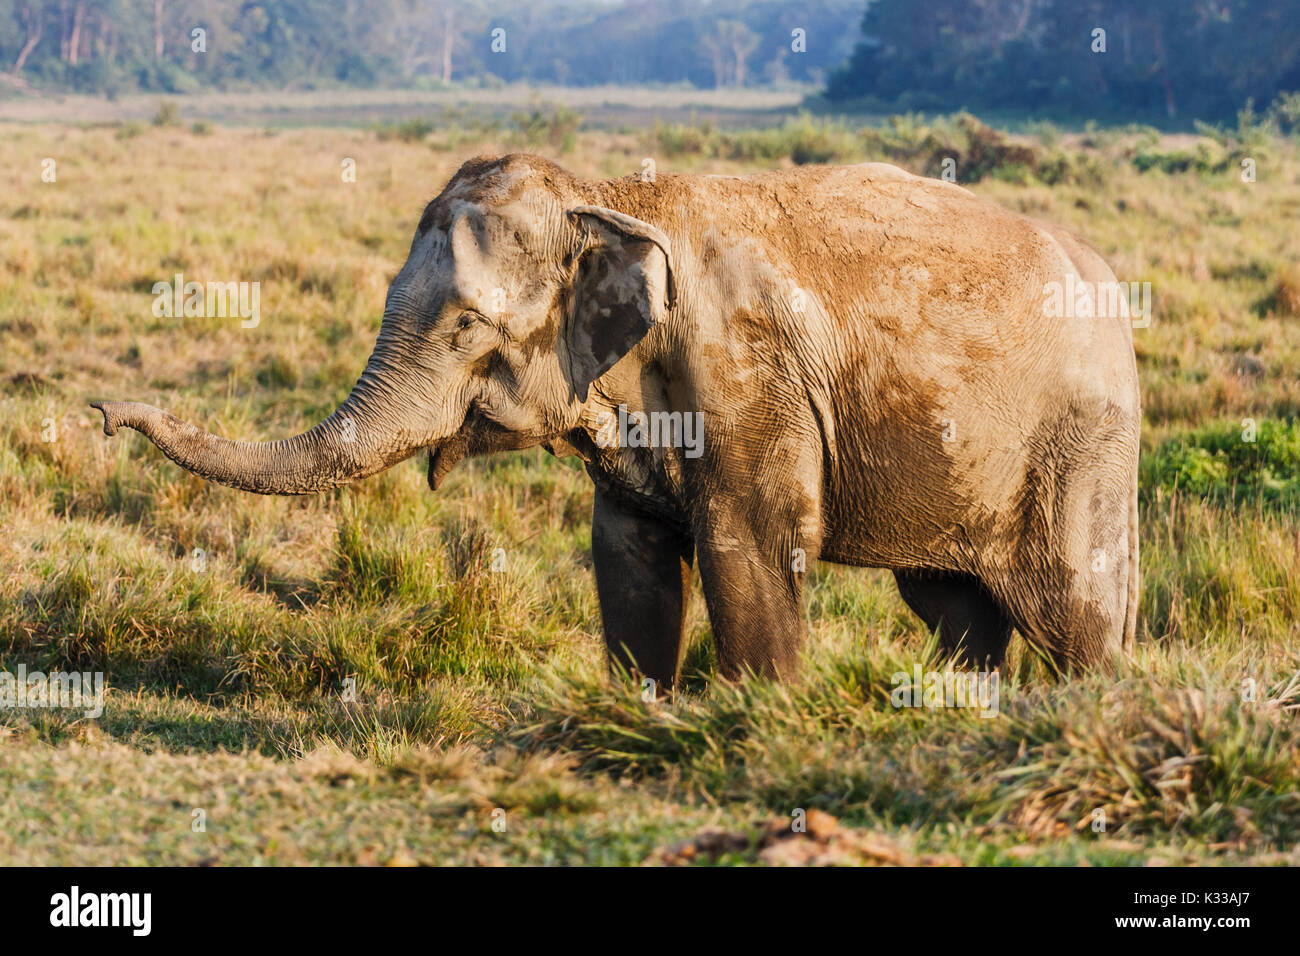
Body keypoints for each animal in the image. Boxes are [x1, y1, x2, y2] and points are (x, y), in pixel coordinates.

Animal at [92, 153, 1140, 690]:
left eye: (465, 325)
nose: (103, 412)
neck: (610, 195)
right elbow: (627, 554)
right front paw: (644, 711)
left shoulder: (748, 377)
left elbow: (752, 544)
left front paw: (759, 721)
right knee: (955, 609)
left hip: (1080, 445)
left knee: (1074, 611)